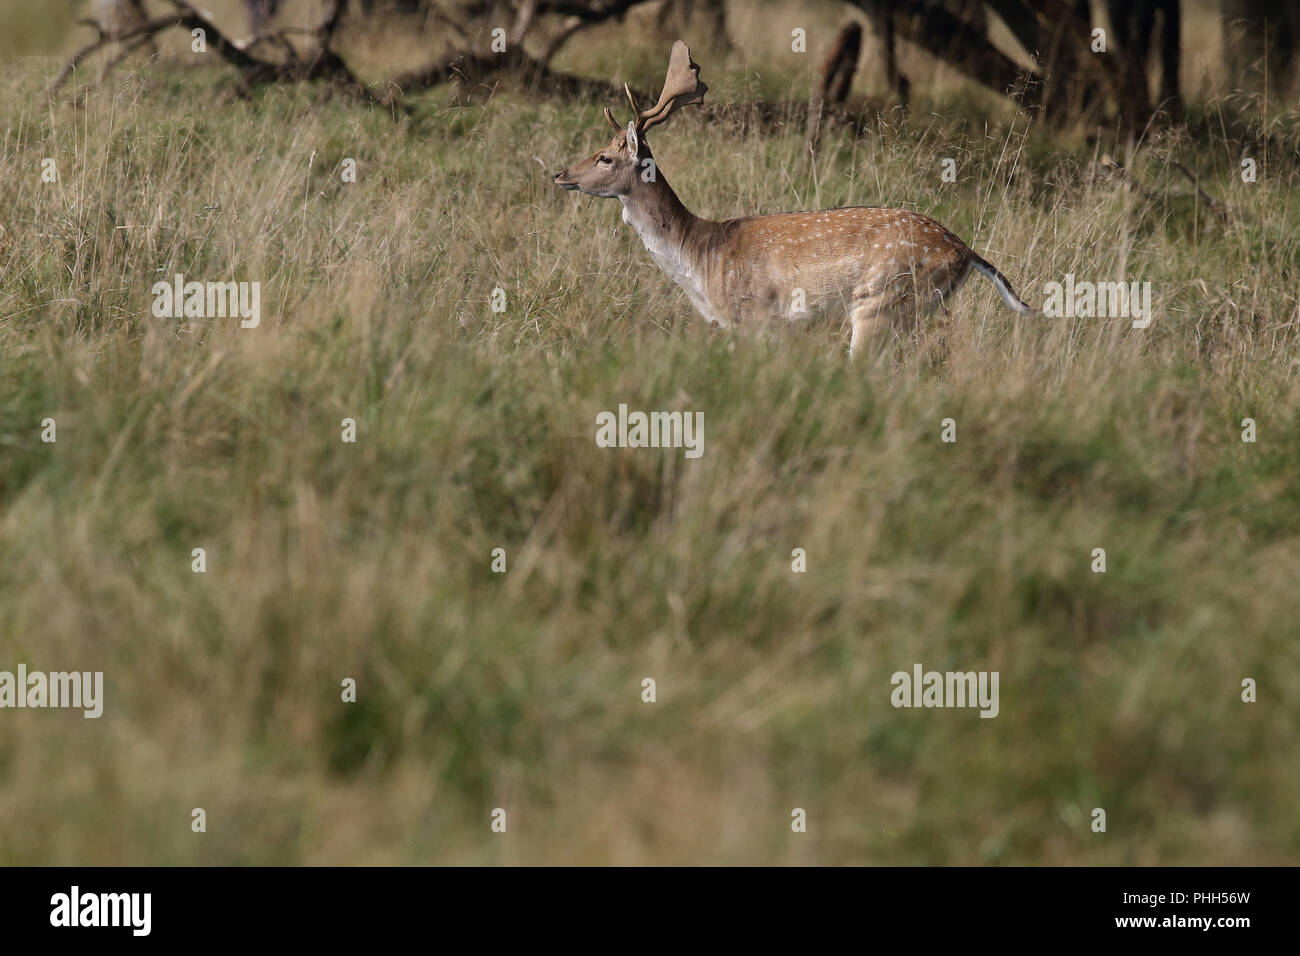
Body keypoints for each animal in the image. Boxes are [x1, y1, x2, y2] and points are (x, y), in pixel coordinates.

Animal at [553, 42, 1038, 357]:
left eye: (605, 157)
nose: (559, 174)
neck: (701, 256)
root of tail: (965, 251)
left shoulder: (754, 317)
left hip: (880, 304)